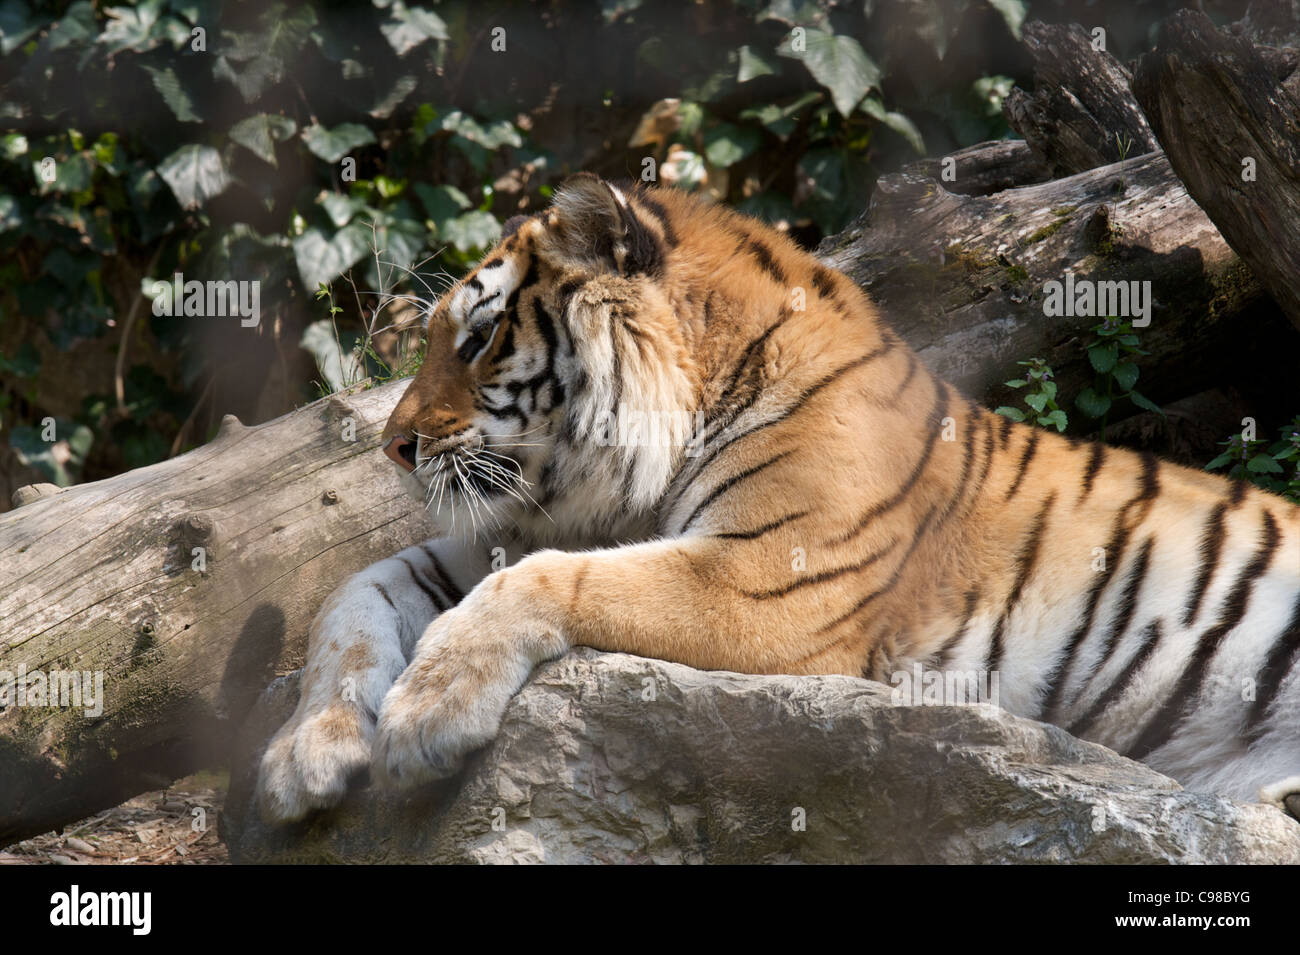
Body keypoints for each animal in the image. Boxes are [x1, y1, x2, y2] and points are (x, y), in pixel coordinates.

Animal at [255, 172, 1300, 825]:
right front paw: (306, 754)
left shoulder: (769, 578)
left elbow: (551, 579)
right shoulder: (507, 534)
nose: (393, 447)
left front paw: (428, 711)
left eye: (474, 340)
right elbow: (352, 592)